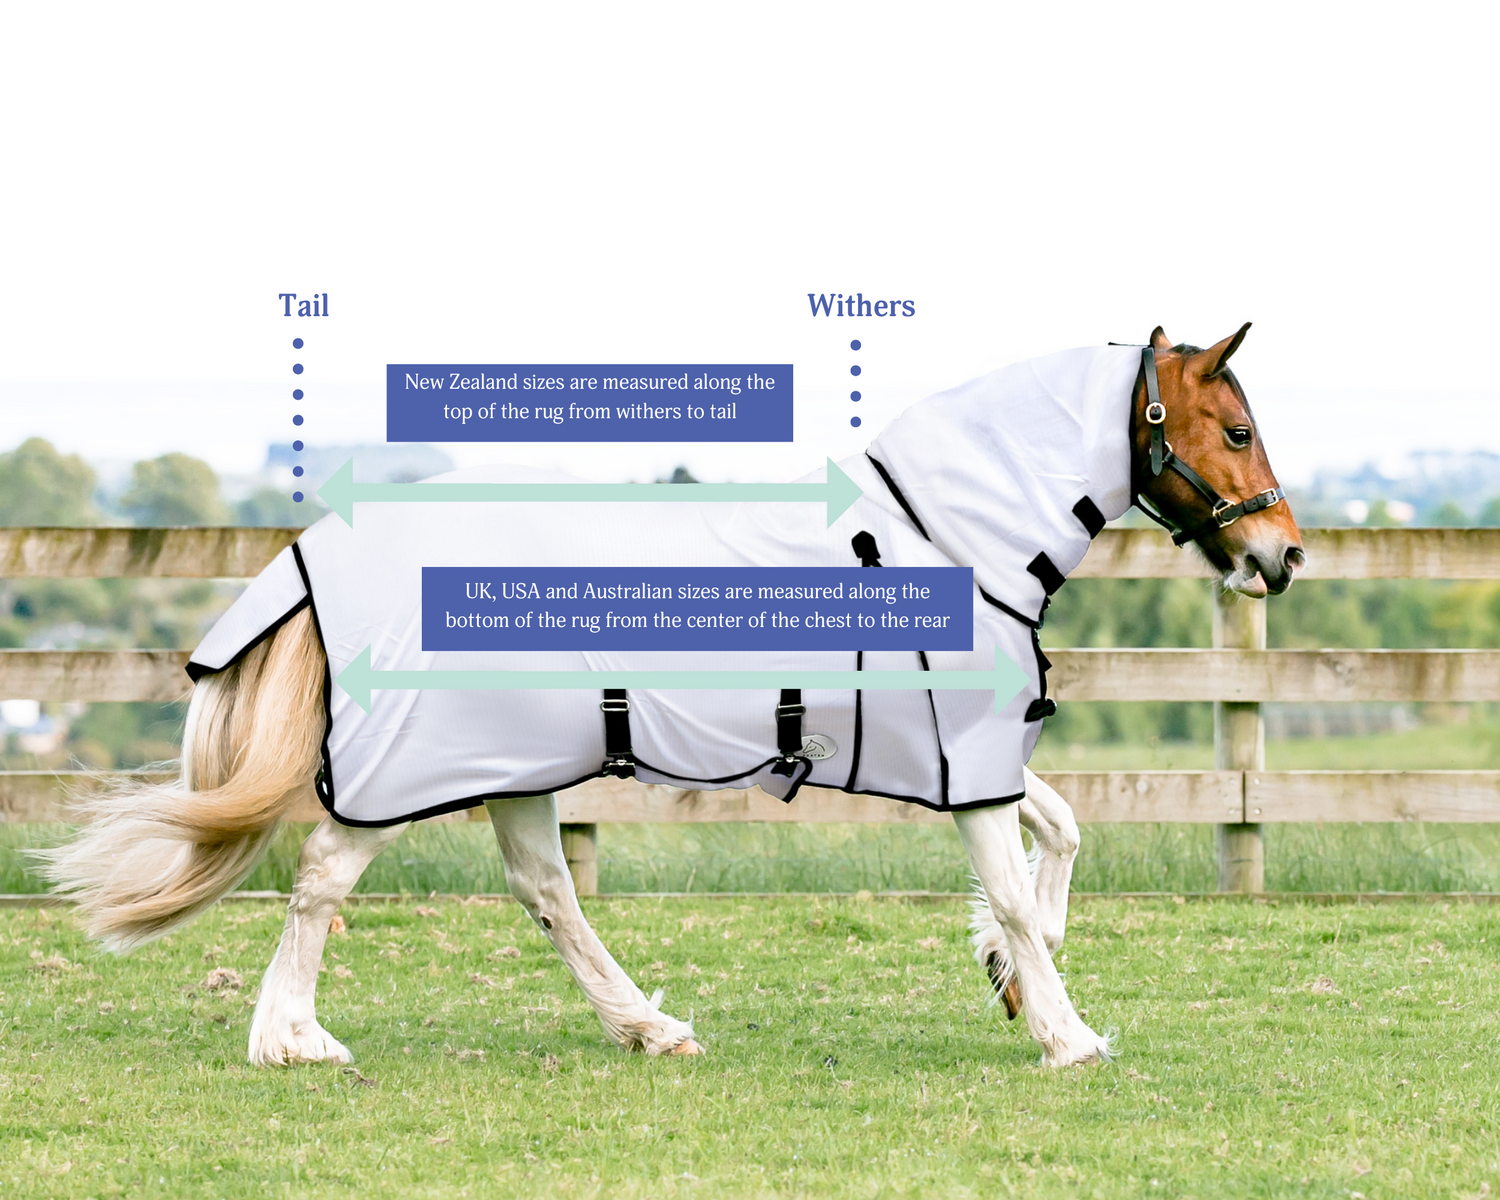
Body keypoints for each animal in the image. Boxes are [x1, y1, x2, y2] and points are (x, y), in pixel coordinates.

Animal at [40, 326, 1303, 1069]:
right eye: (1237, 428)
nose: (1282, 557)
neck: (943, 541)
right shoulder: (971, 771)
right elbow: (1022, 878)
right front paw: (1062, 1028)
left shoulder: (975, 760)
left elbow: (1063, 839)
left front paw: (1005, 973)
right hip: (421, 772)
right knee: (323, 876)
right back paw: (291, 1039)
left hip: (519, 771)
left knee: (546, 891)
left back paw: (649, 1026)